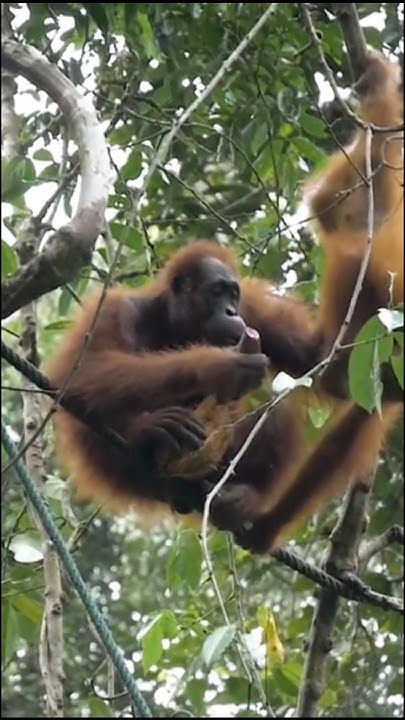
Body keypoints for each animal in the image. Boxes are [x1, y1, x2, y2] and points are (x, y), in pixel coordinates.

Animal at [45, 50, 403, 552]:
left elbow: (330, 369)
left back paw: (250, 506)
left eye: (233, 295)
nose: (231, 313)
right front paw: (217, 367)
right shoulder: (114, 310)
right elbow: (79, 376)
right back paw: (152, 435)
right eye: (217, 293)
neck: (175, 323)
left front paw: (377, 88)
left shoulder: (259, 315)